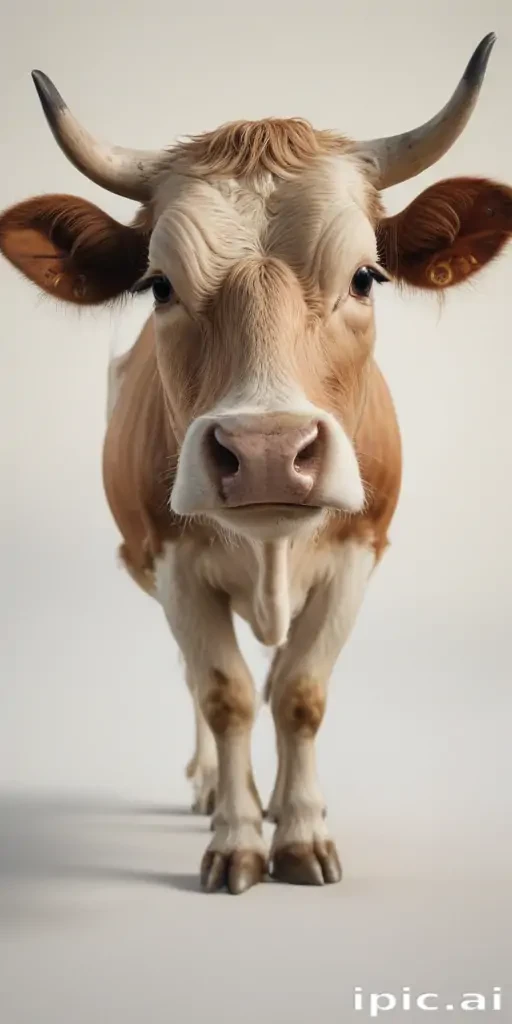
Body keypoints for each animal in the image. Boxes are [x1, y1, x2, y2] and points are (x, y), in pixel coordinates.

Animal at [1, 33, 511, 895]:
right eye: (157, 284)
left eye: (365, 277)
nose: (269, 452)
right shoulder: (173, 564)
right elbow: (225, 695)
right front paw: (237, 839)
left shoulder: (357, 554)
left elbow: (298, 691)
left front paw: (301, 831)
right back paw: (215, 789)